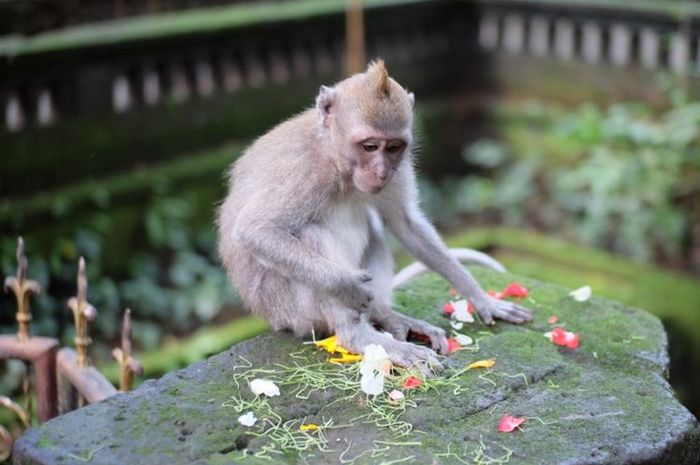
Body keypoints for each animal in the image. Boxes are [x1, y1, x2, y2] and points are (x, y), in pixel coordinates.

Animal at [217, 60, 532, 370]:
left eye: (393, 147)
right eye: (369, 146)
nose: (381, 172)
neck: (335, 158)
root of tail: (275, 320)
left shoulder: (398, 169)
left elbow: (406, 223)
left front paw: (481, 298)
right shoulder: (302, 170)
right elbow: (255, 232)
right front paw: (347, 285)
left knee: (375, 231)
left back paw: (386, 316)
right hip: (292, 312)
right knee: (309, 234)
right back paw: (358, 335)